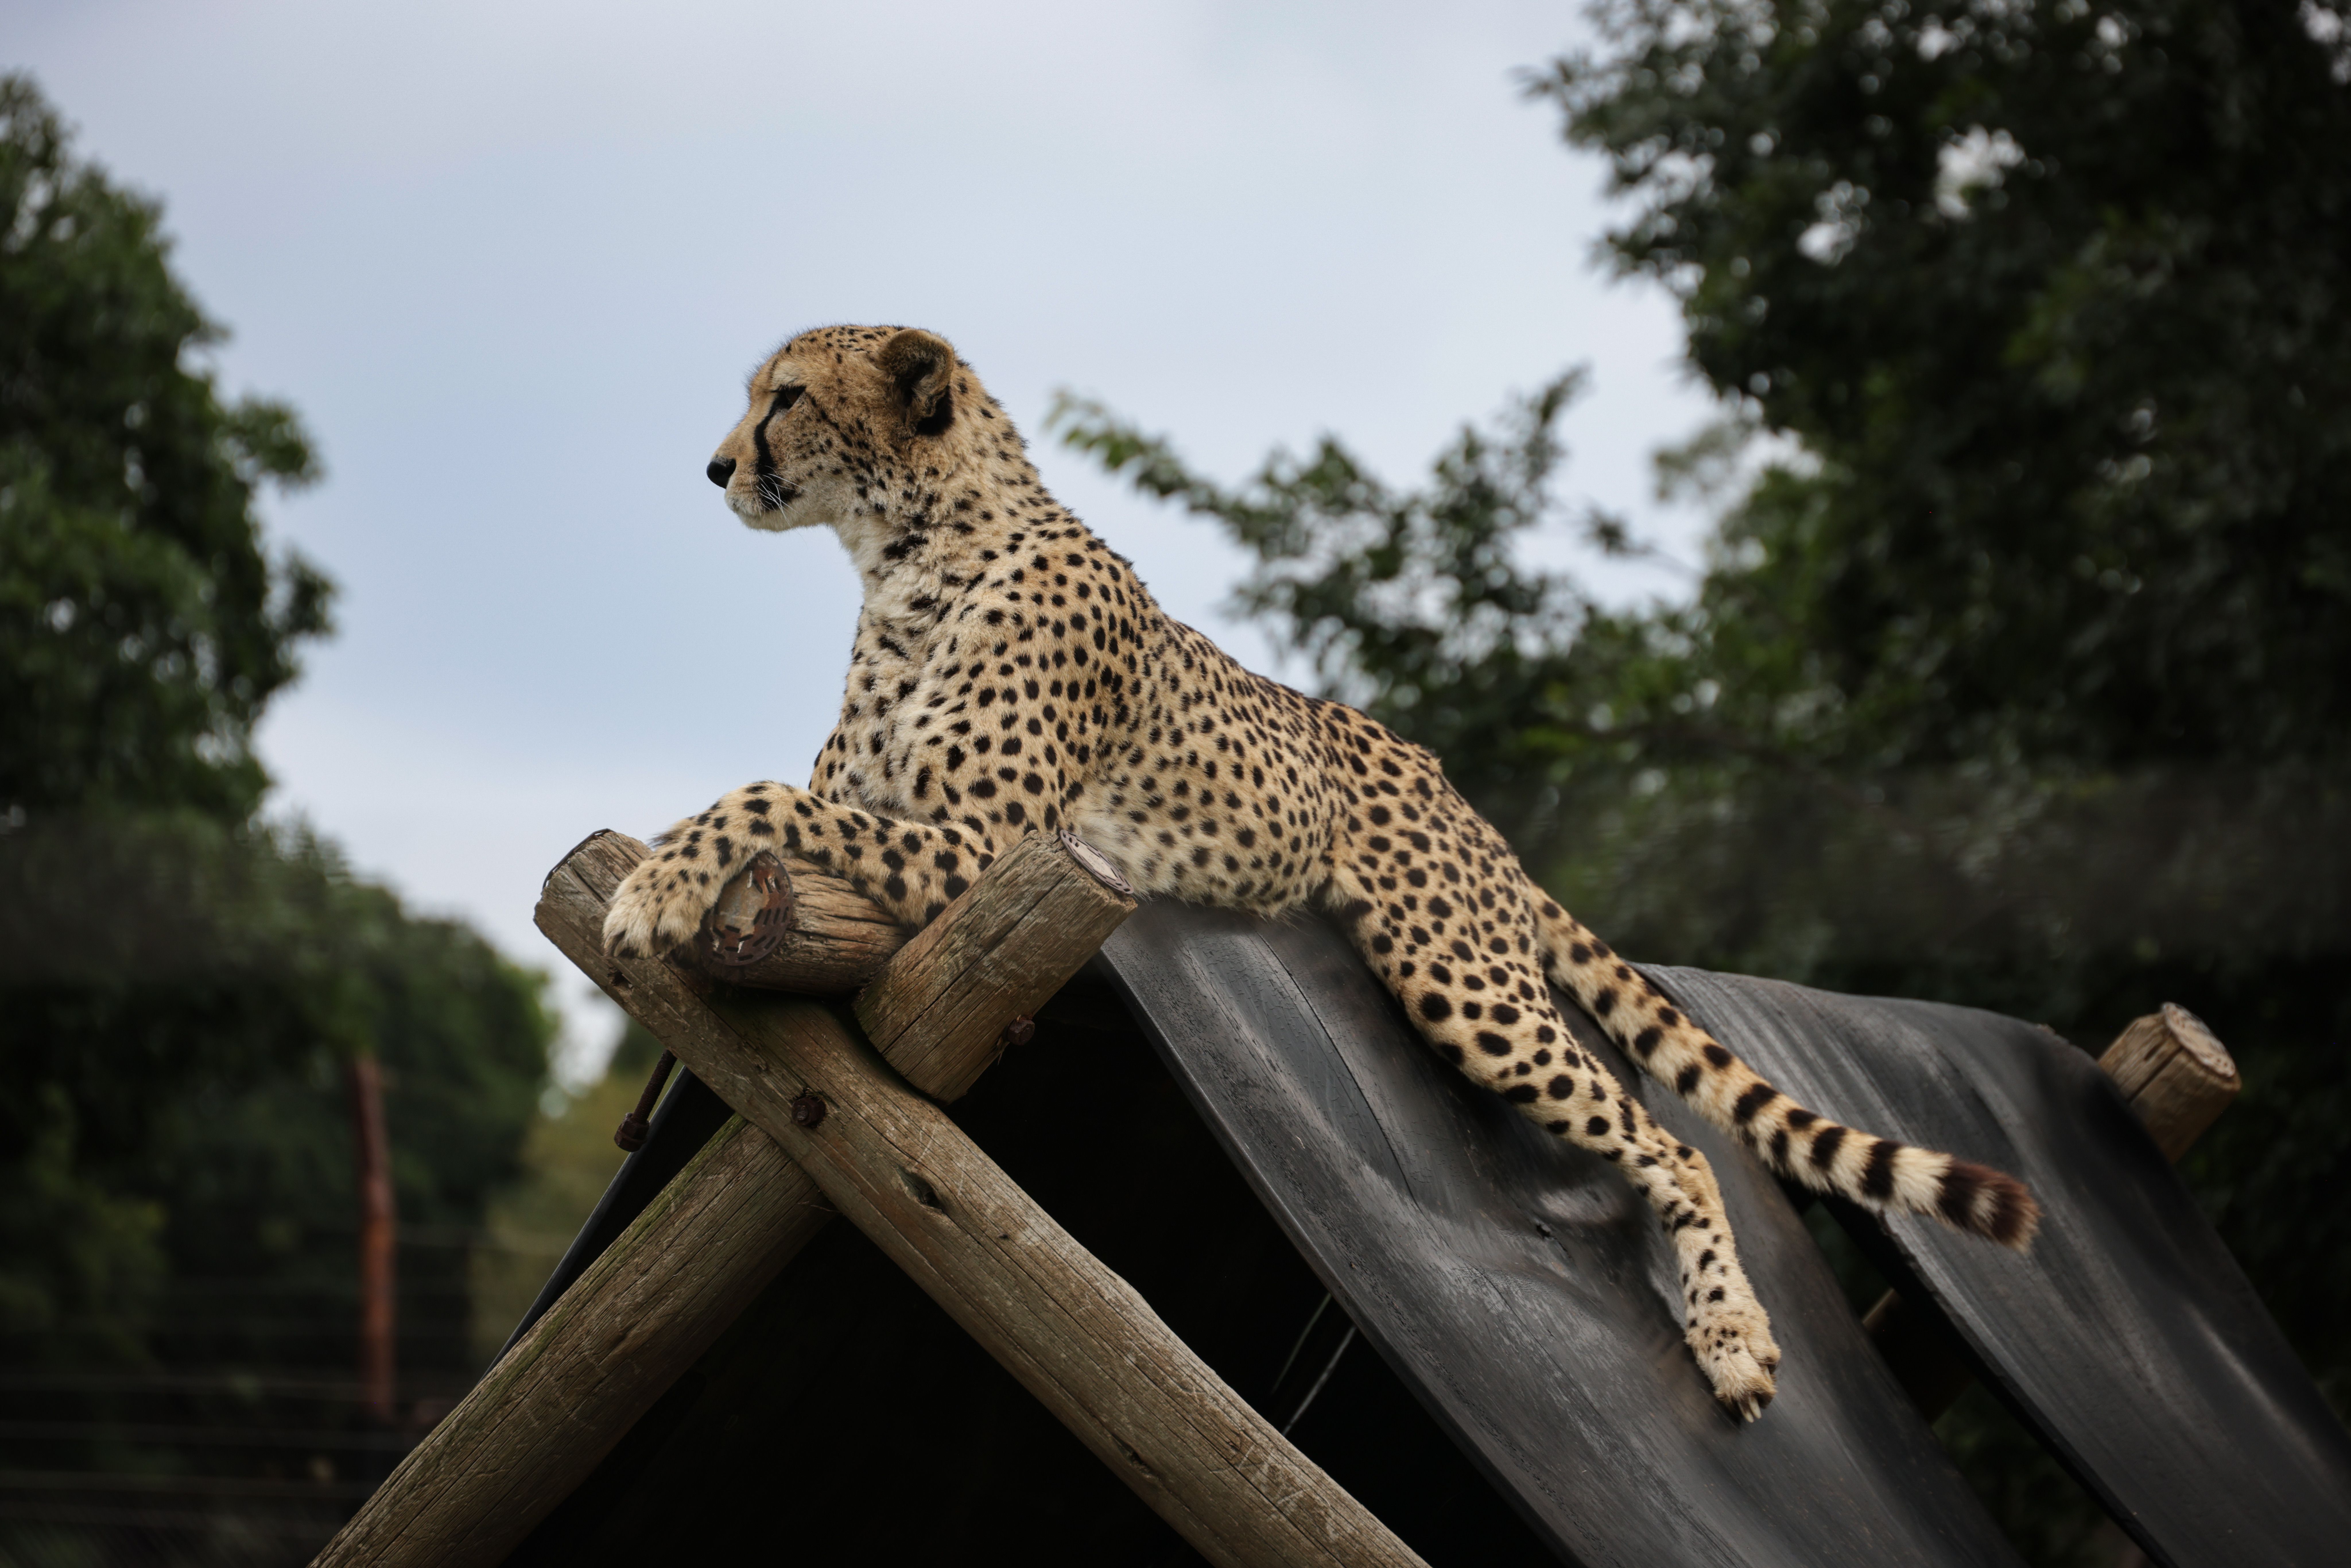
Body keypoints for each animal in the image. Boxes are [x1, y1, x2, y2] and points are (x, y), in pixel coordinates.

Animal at [602, 324, 2040, 1421]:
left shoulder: (995, 845)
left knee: (1673, 1146)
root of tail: (1450, 779)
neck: (908, 557)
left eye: (787, 395)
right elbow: (803, 794)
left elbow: (767, 795)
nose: (717, 464)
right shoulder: (915, 814)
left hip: (1454, 972)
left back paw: (1730, 1336)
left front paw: (656, 885)